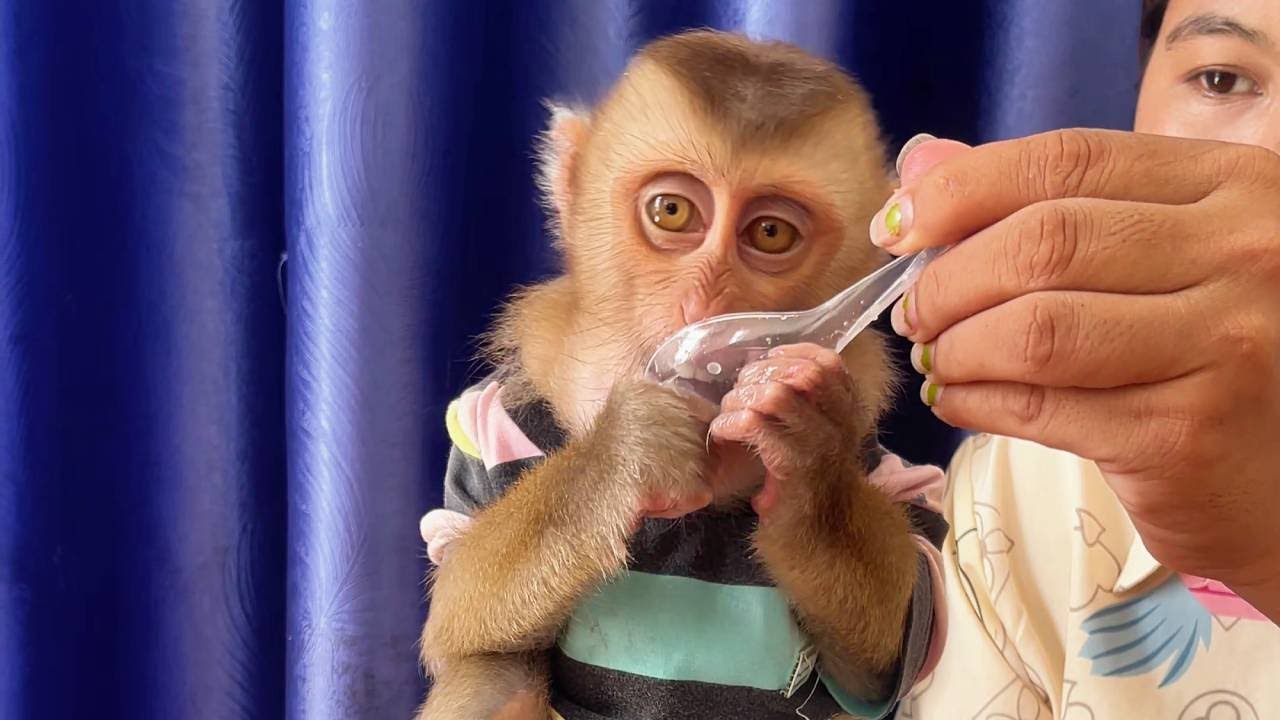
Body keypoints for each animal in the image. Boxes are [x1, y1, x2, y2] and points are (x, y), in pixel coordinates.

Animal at [416, 30, 947, 720]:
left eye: (769, 232)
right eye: (671, 211)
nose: (702, 307)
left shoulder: (885, 463)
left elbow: (885, 655)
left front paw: (809, 443)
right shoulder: (486, 422)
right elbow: (456, 612)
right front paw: (621, 453)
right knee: (491, 675)